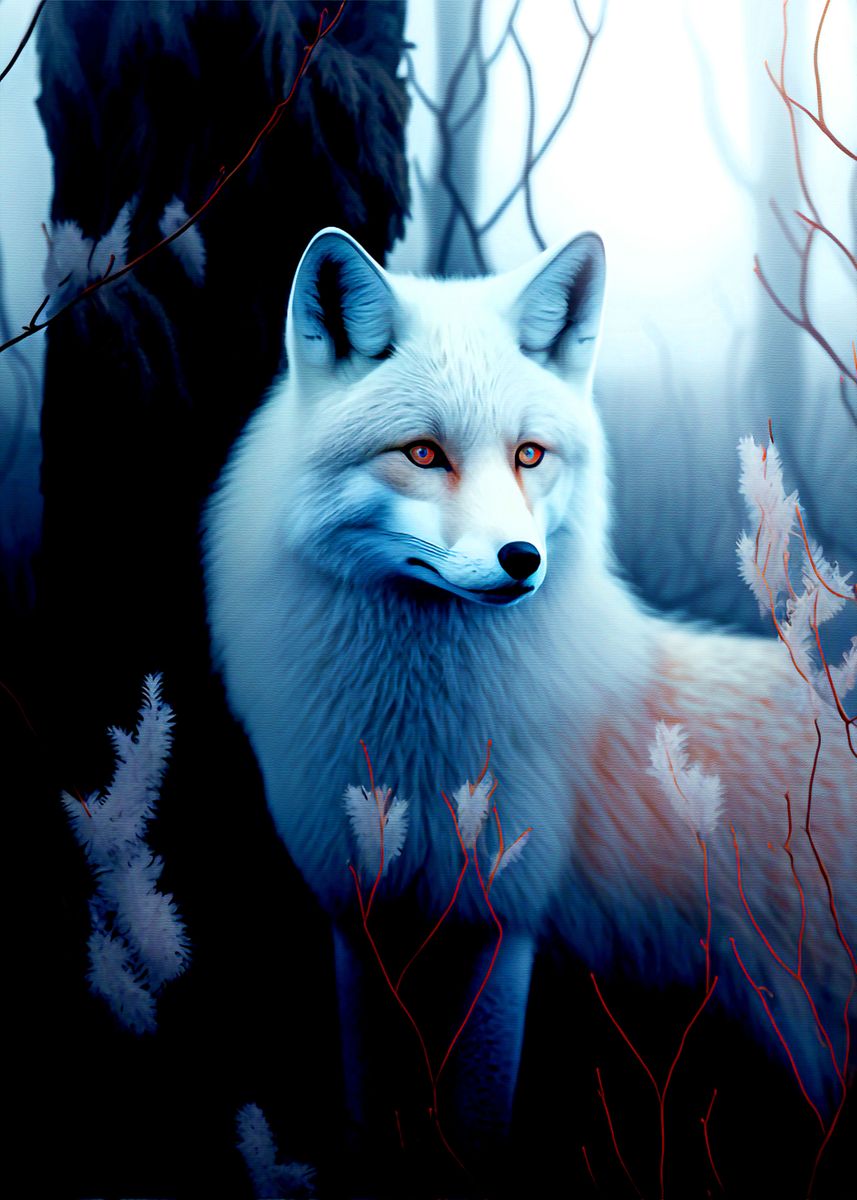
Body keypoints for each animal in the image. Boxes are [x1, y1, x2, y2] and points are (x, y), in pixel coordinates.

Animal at [203, 227, 855, 1183]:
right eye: (423, 453)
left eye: (529, 455)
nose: (521, 559)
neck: (416, 738)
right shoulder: (360, 913)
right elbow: (373, 1100)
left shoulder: (496, 920)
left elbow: (475, 1118)